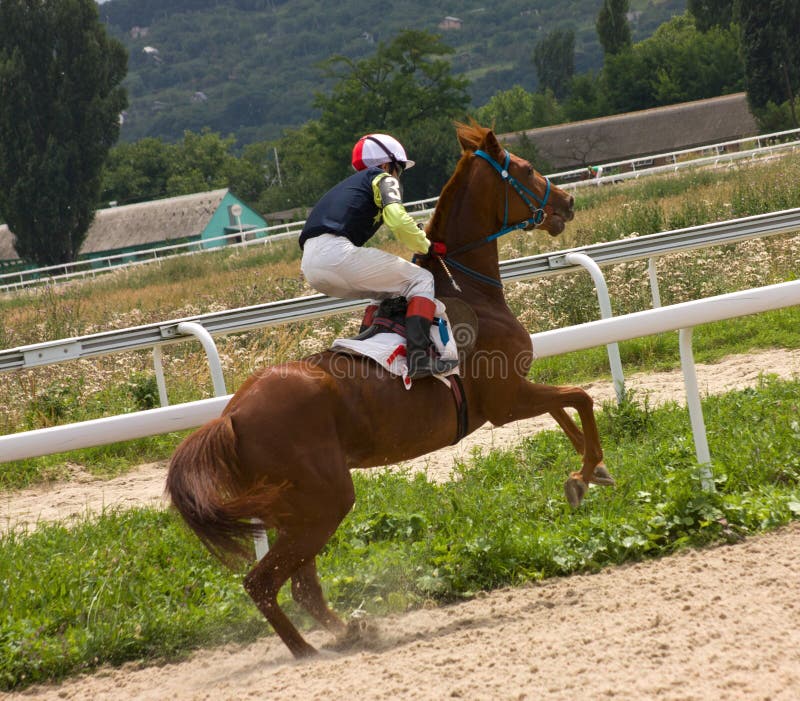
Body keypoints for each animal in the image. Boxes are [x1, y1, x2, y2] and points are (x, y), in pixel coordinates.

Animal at [166, 121, 614, 659]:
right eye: (525, 169)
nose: (568, 201)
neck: (468, 287)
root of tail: (229, 416)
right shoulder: (506, 400)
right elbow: (579, 396)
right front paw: (583, 474)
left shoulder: (516, 390)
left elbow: (566, 408)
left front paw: (595, 472)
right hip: (325, 502)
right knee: (263, 582)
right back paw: (308, 652)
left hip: (298, 509)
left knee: (301, 586)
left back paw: (349, 633)